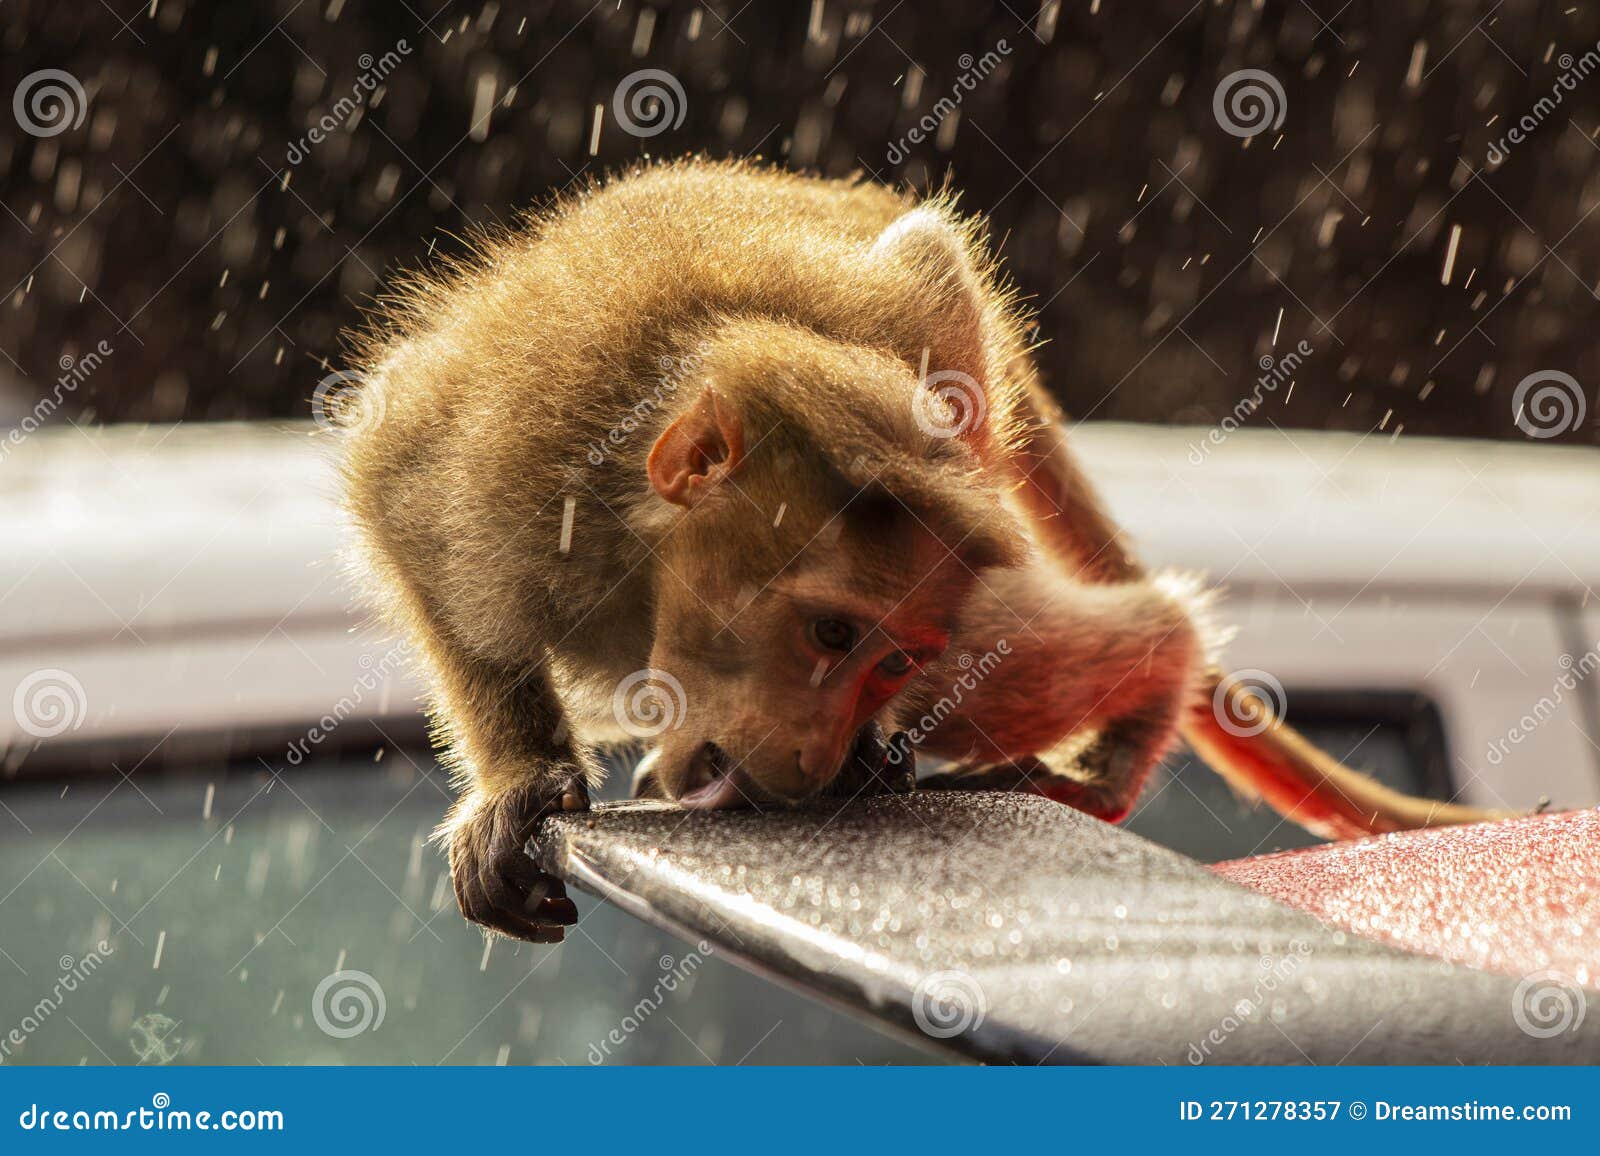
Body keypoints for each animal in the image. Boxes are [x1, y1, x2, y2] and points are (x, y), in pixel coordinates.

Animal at [336, 158, 1505, 943]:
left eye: (886, 656)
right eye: (826, 633)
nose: (811, 763)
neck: (640, 552)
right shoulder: (500, 477)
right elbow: (391, 467)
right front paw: (521, 775)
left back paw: (1148, 659)